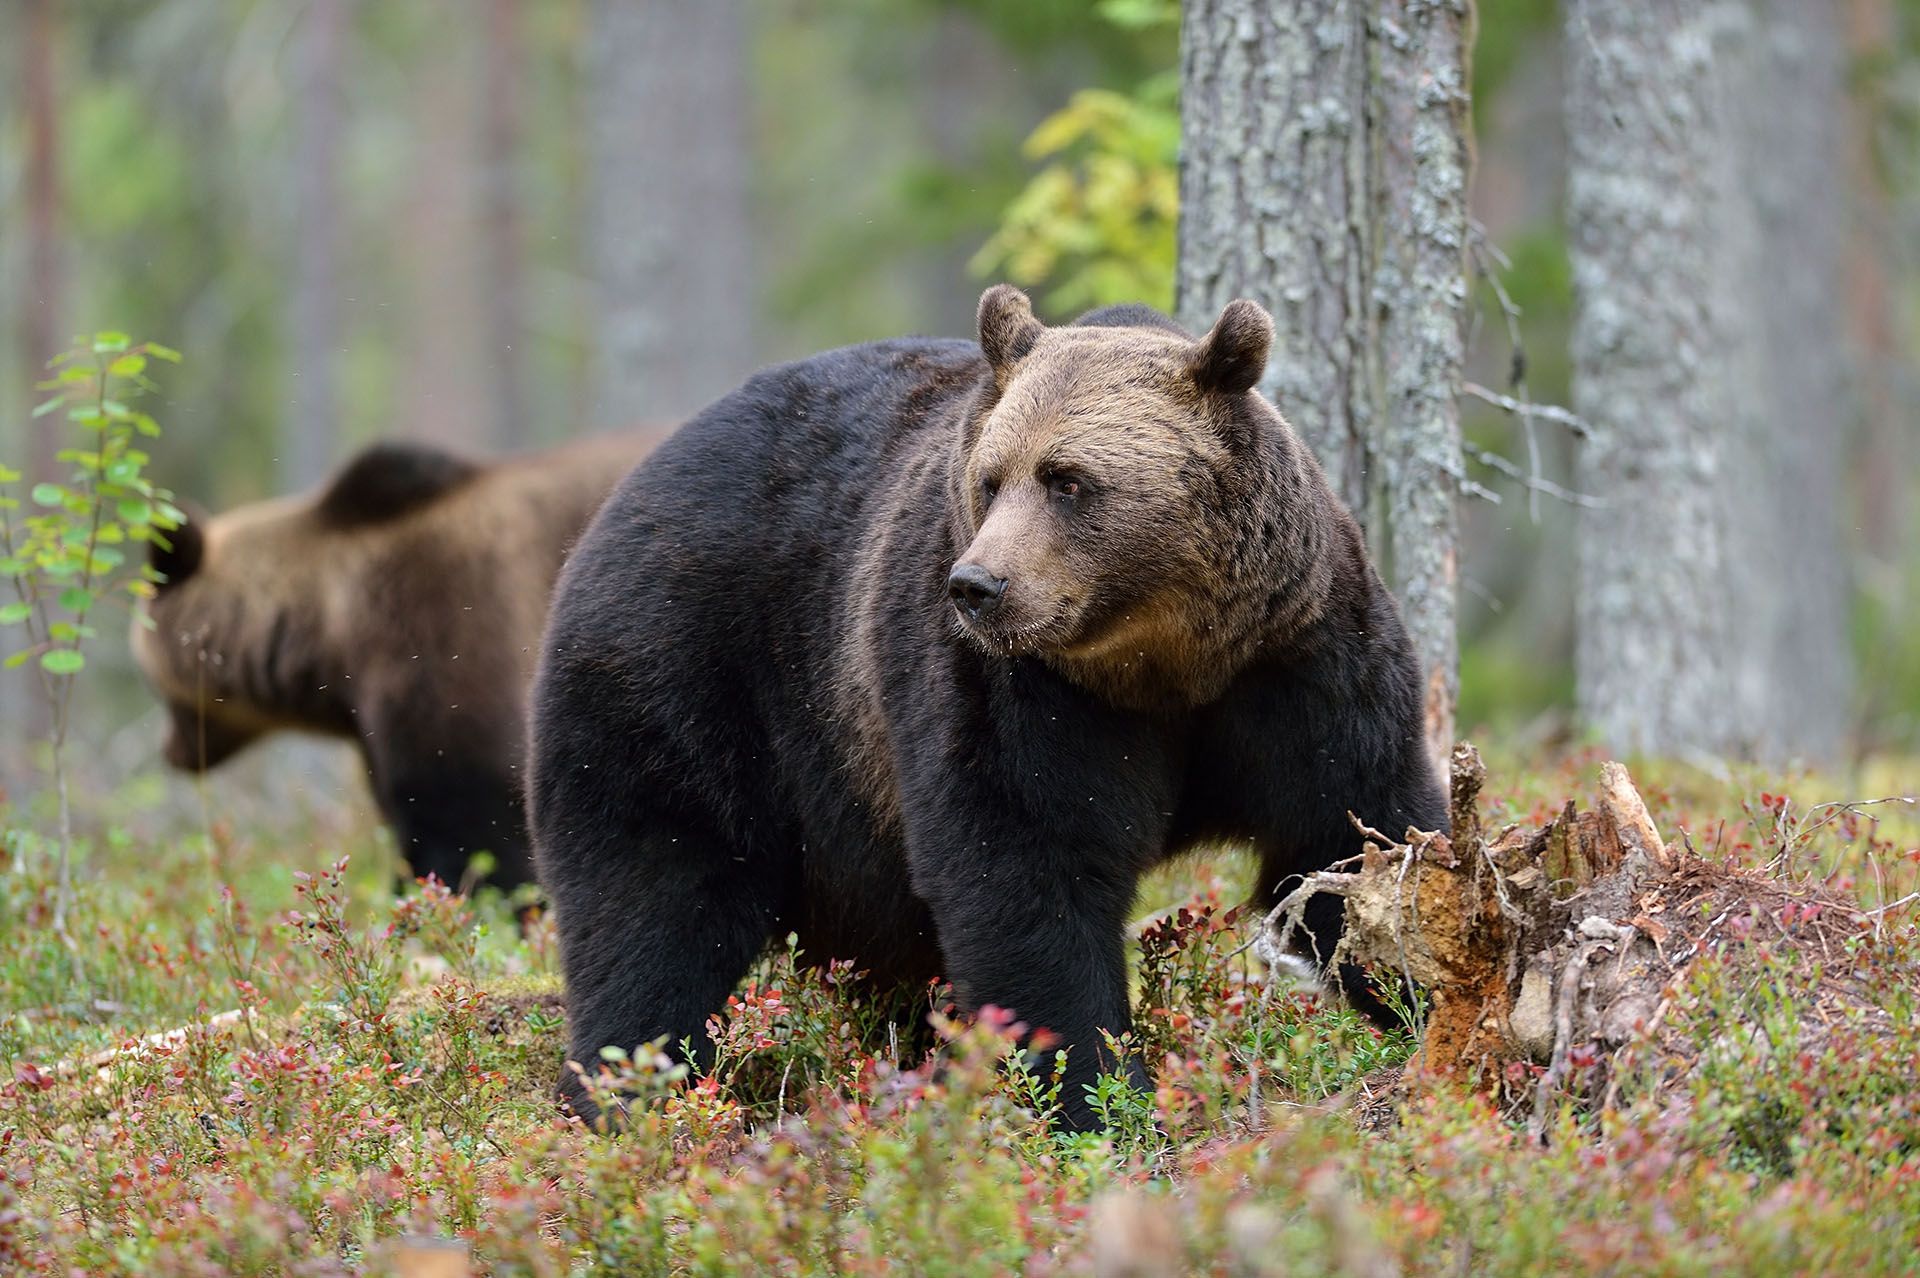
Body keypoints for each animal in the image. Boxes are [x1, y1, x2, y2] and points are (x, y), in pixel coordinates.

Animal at [529, 286, 1446, 1130]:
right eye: (991, 477)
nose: (977, 585)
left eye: (1069, 480)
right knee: (657, 898)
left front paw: (1430, 990)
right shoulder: (1010, 691)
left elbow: (1354, 832)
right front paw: (1095, 1098)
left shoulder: (1298, 661)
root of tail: (628, 485)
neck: (1159, 660)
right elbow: (1025, 867)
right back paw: (628, 1095)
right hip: (685, 672)